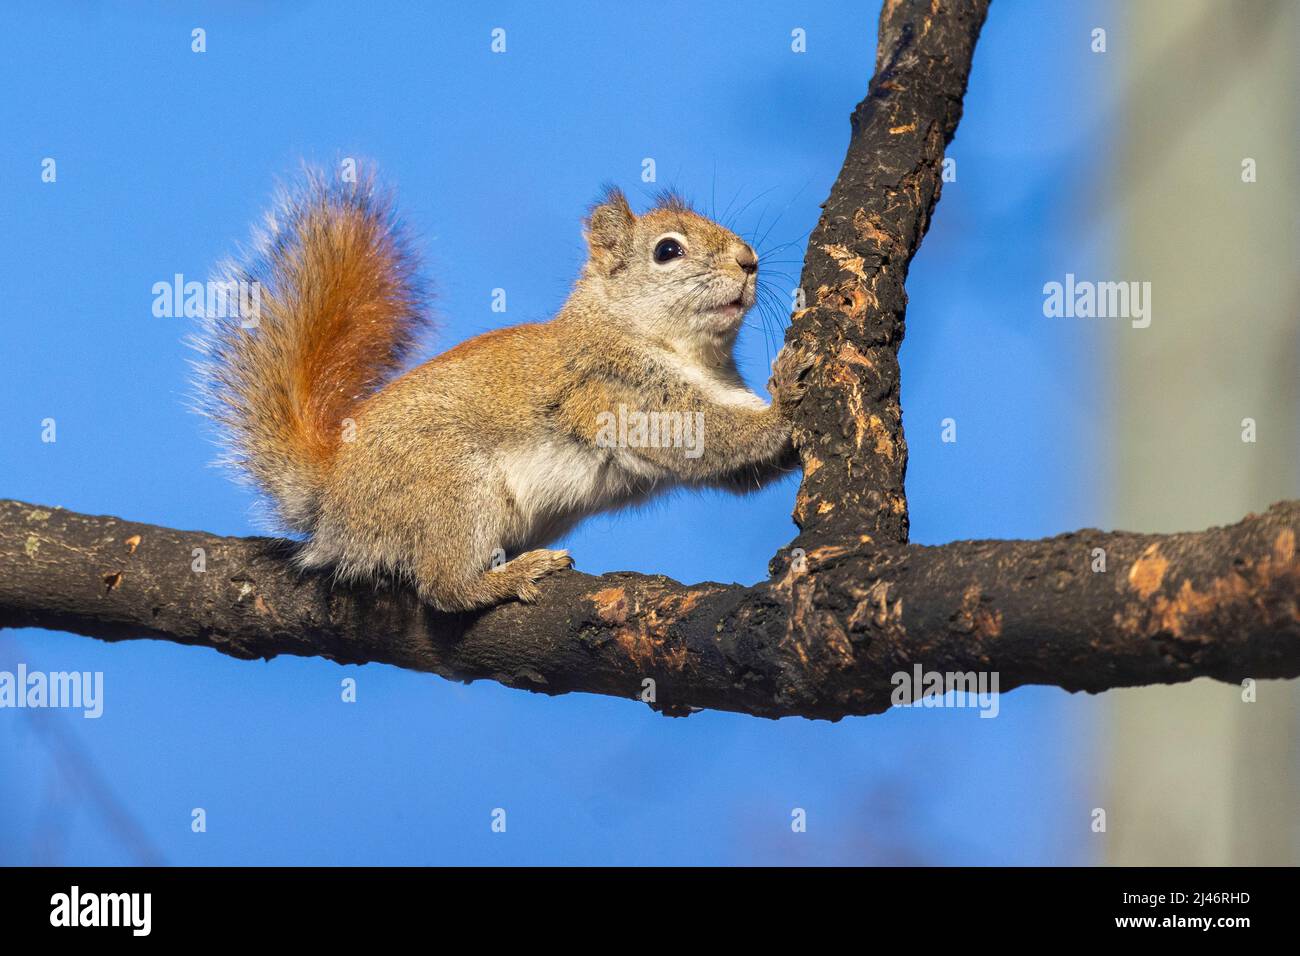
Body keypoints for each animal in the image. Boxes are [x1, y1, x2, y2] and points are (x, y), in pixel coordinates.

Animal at [193, 171, 810, 612]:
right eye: (667, 251)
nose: (750, 261)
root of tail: (333, 494)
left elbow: (736, 470)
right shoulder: (608, 392)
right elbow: (702, 436)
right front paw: (785, 402)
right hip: (451, 488)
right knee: (442, 587)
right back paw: (504, 579)